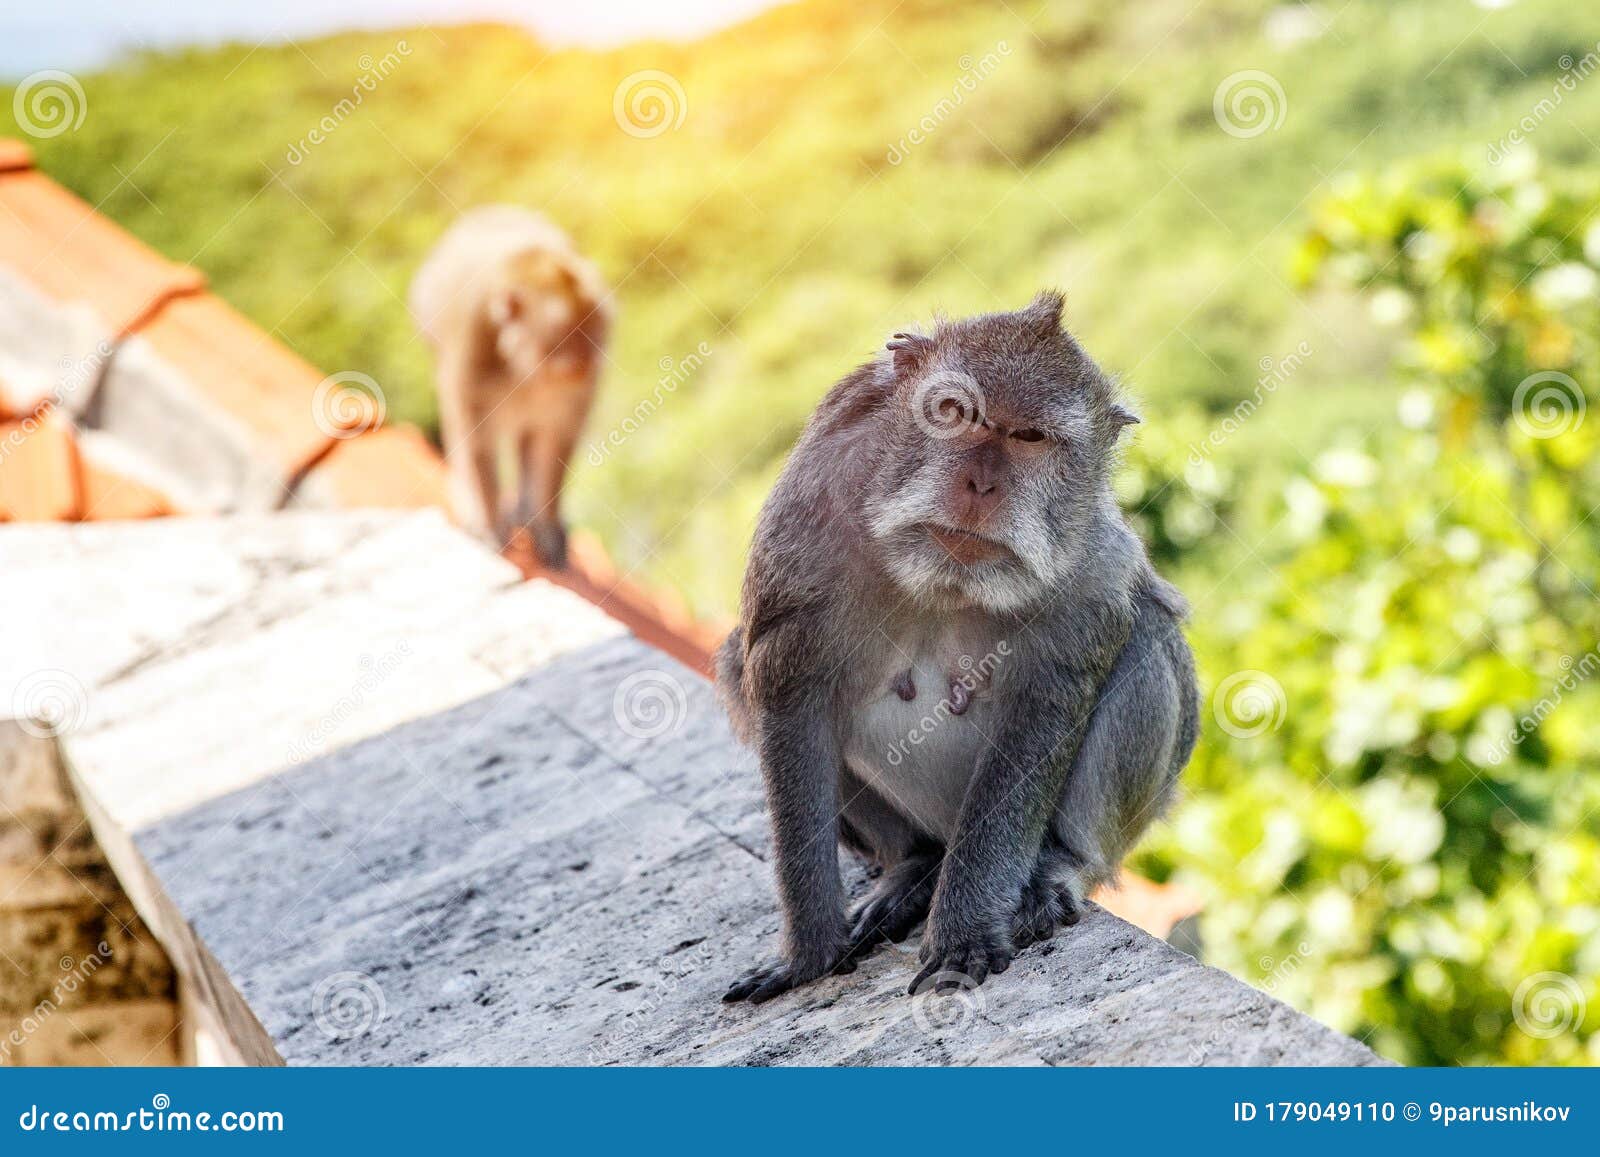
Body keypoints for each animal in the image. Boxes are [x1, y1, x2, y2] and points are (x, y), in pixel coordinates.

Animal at [410, 206, 611, 567]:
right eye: (566, 332)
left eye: (593, 327)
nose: (585, 362)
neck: (527, 369)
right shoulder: (473, 343)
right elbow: (477, 439)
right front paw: (488, 522)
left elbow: (554, 439)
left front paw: (546, 527)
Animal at [716, 291, 1199, 1003]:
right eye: (952, 412)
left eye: (1031, 438)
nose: (980, 485)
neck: (942, 579)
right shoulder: (804, 519)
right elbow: (786, 688)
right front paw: (806, 954)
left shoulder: (1091, 571)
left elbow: (1044, 712)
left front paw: (963, 936)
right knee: (735, 663)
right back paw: (913, 870)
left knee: (1145, 639)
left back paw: (1061, 868)